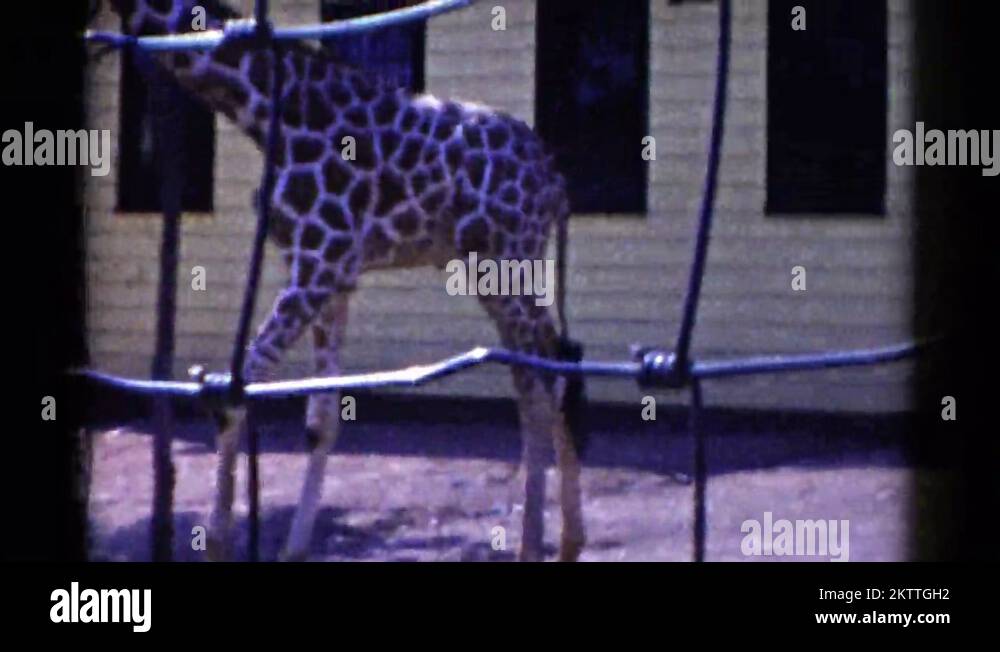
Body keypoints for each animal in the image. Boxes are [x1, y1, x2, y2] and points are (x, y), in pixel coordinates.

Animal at [103, 0, 586, 561]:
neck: (268, 106)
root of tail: (556, 184)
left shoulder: (319, 260)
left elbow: (238, 385)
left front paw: (217, 539)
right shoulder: (332, 275)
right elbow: (321, 419)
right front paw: (291, 549)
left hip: (507, 263)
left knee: (543, 380)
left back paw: (538, 544)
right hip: (495, 273)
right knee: (548, 369)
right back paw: (568, 539)